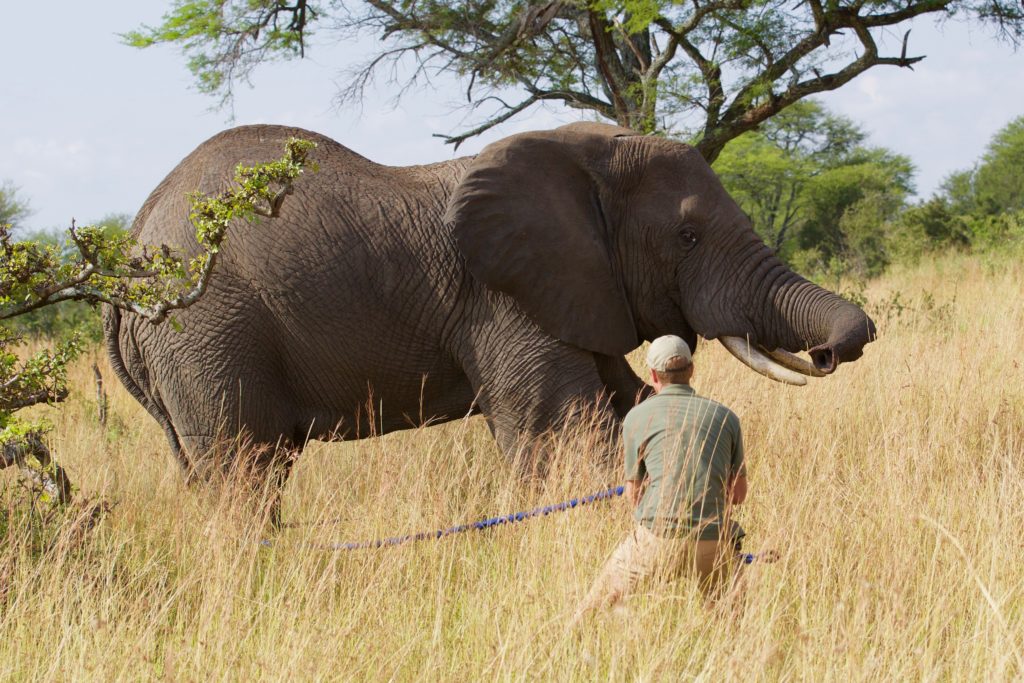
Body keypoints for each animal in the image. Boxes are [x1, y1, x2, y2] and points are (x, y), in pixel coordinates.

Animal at [105, 121, 875, 488]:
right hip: (205, 332)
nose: (842, 343)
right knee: (244, 472)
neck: (574, 157)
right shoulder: (503, 300)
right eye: (687, 235)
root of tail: (130, 247)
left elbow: (623, 402)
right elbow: (559, 432)